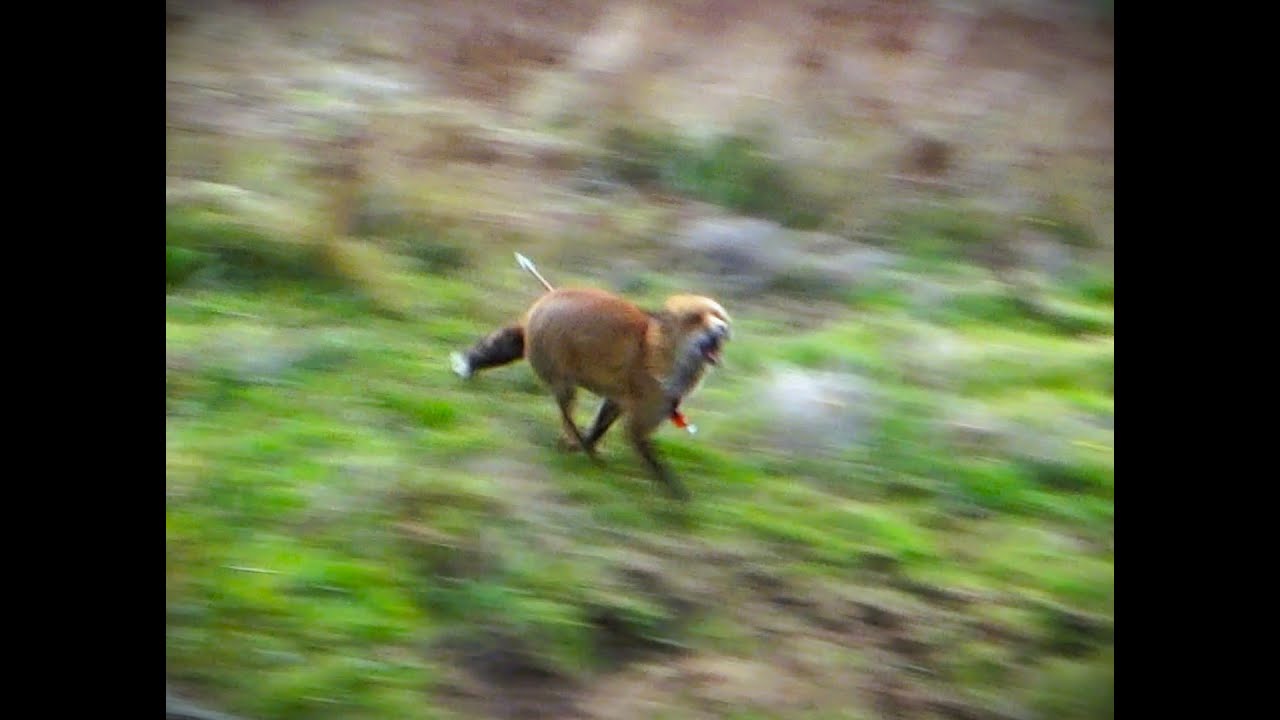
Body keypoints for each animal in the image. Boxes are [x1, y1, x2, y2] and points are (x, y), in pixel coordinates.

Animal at [449, 253, 731, 500]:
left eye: (717, 316)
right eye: (696, 319)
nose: (723, 329)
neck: (659, 354)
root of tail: (548, 296)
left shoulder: (615, 402)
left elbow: (596, 430)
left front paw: (585, 448)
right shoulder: (638, 423)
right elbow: (658, 466)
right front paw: (678, 497)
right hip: (565, 387)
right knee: (567, 419)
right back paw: (581, 450)